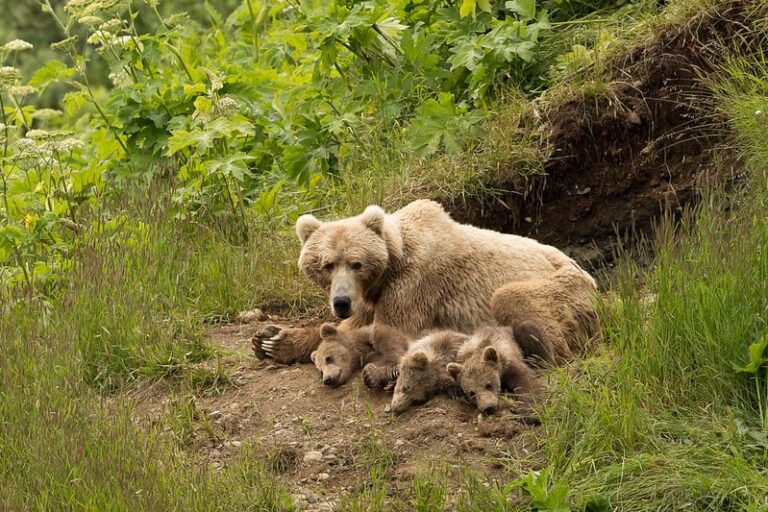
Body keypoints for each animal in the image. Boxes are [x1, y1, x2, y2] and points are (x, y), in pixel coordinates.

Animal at [253, 199, 594, 364]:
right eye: (327, 264)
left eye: (356, 263)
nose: (341, 302)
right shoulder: (370, 296)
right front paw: (270, 339)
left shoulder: (414, 285)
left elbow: (387, 331)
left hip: (566, 286)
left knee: (511, 298)